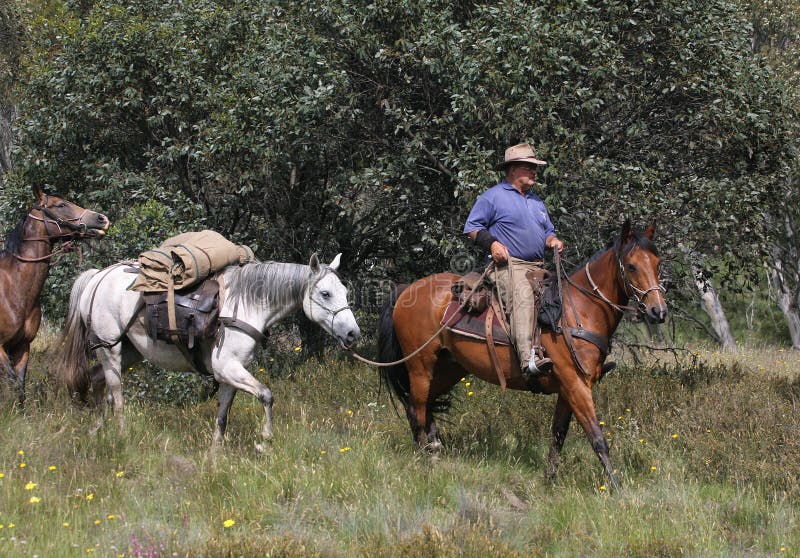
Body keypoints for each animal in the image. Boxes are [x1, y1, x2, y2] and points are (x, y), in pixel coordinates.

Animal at [0, 190, 109, 405]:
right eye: (61, 205)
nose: (101, 219)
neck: (14, 289)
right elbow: (12, 381)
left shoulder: (22, 346)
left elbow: (19, 387)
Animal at [60, 252, 361, 451]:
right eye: (325, 293)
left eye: (345, 291)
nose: (352, 334)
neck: (247, 304)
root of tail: (96, 277)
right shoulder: (227, 367)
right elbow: (266, 395)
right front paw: (265, 440)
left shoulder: (230, 373)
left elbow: (223, 415)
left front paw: (215, 455)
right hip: (109, 348)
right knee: (117, 394)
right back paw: (121, 436)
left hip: (130, 351)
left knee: (98, 380)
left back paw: (97, 429)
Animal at [378, 221, 667, 488]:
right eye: (631, 266)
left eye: (657, 263)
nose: (658, 311)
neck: (576, 311)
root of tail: (405, 290)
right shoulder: (576, 384)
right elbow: (596, 437)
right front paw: (617, 488)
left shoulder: (567, 389)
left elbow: (559, 434)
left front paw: (550, 479)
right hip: (420, 366)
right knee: (416, 411)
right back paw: (424, 462)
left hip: (449, 368)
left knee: (425, 408)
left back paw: (435, 453)